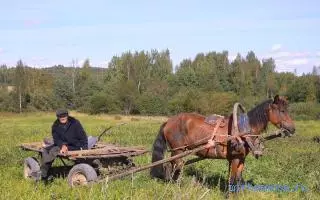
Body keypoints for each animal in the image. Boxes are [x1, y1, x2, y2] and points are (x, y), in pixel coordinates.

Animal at [150, 96, 296, 191]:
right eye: (282, 111)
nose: (292, 129)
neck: (243, 130)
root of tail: (169, 121)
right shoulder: (235, 159)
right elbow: (232, 180)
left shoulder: (241, 159)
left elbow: (238, 179)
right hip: (178, 151)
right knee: (177, 168)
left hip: (178, 152)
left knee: (171, 165)